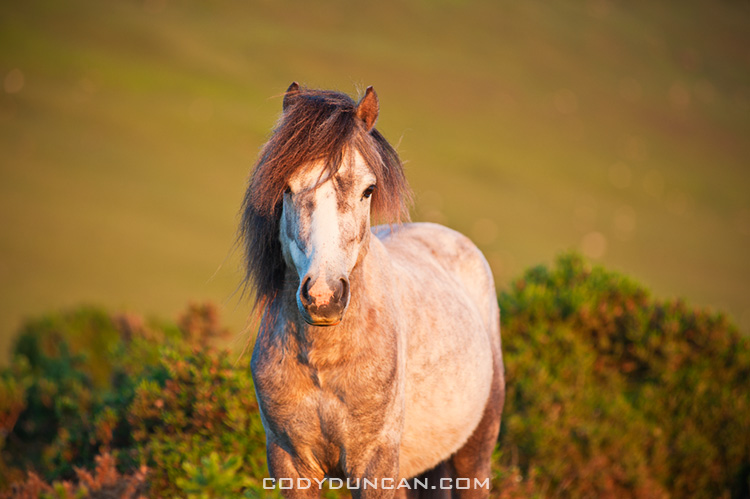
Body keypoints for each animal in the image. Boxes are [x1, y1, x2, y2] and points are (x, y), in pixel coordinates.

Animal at [240, 83, 505, 498]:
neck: (324, 362)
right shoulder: (290, 464)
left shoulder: (374, 465)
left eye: (368, 190)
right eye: (287, 188)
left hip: (474, 453)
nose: (324, 298)